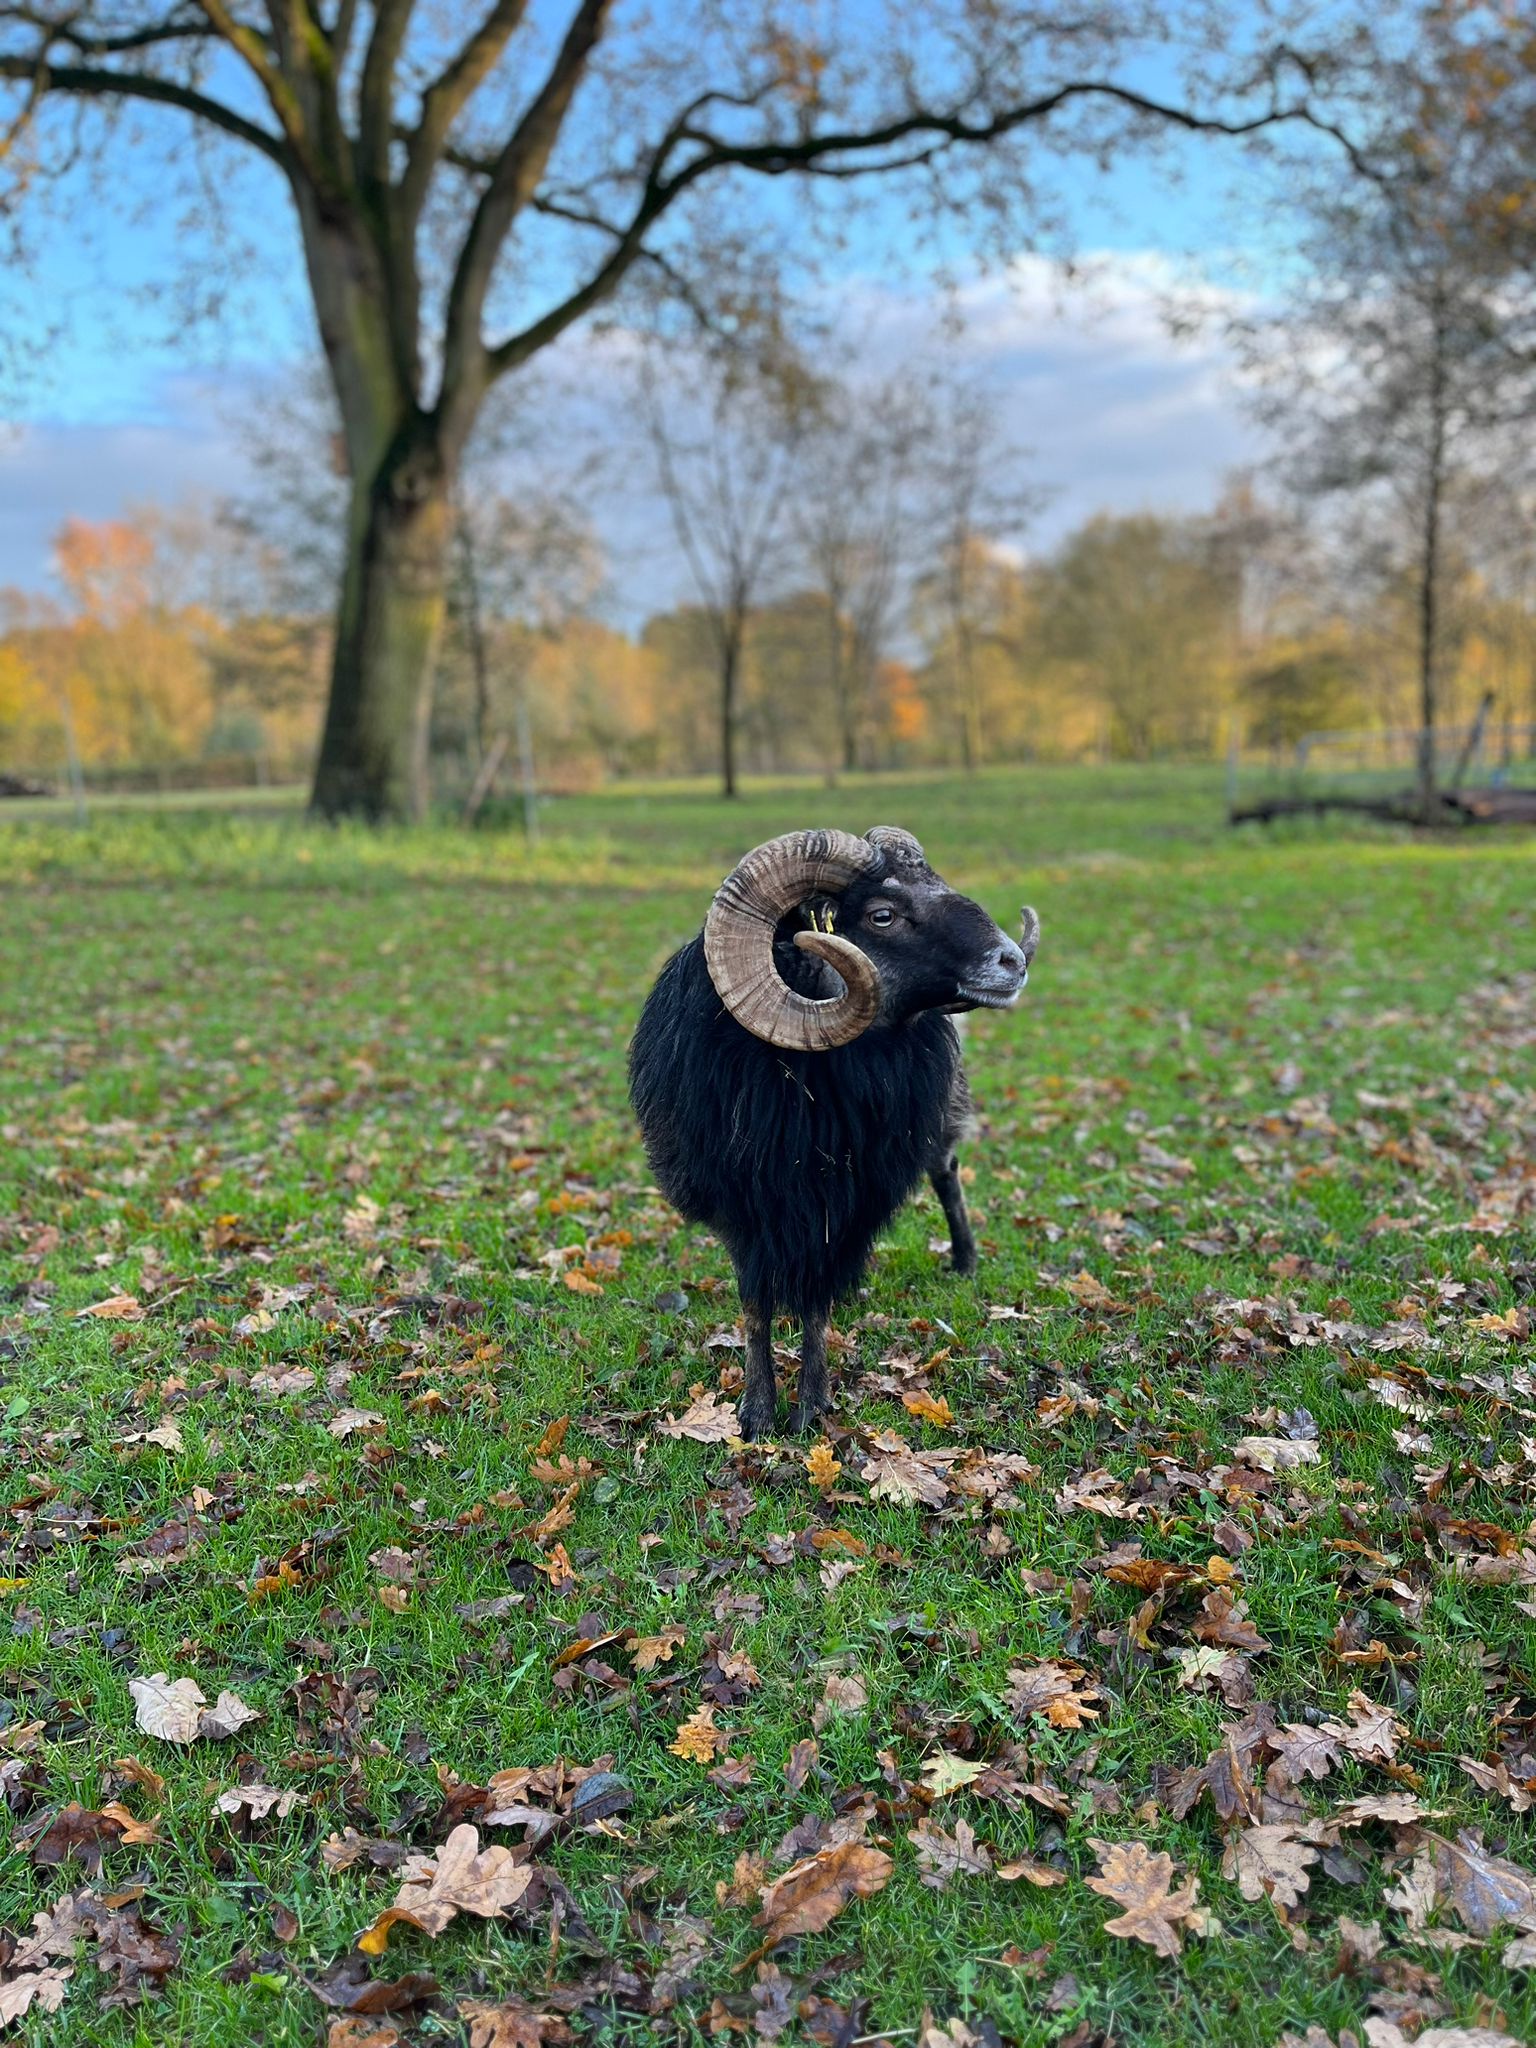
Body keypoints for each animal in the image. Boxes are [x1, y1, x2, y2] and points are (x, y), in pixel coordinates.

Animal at [629, 826, 1038, 1439]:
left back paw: (964, 1262)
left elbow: (815, 1301)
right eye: (882, 915)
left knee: (947, 1173)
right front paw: (756, 1413)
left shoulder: (844, 1203)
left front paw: (811, 1407)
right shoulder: (743, 1204)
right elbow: (755, 1303)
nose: (1012, 960)